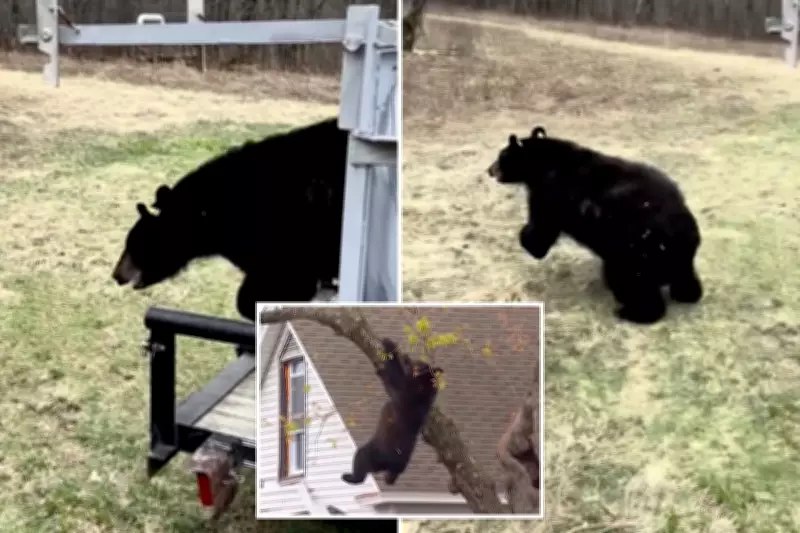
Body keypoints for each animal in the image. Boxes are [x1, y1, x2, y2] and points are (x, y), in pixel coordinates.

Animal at [341, 337, 442, 486]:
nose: (411, 360)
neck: (423, 390)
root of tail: (393, 466)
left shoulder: (402, 387)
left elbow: (393, 374)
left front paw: (389, 344)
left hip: (371, 451)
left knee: (360, 465)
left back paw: (349, 477)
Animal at [487, 125, 703, 325]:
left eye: (501, 156)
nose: (489, 170)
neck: (541, 164)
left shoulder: (550, 193)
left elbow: (542, 226)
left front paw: (529, 243)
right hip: (676, 256)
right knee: (685, 277)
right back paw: (687, 294)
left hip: (633, 252)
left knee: (632, 284)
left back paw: (631, 312)